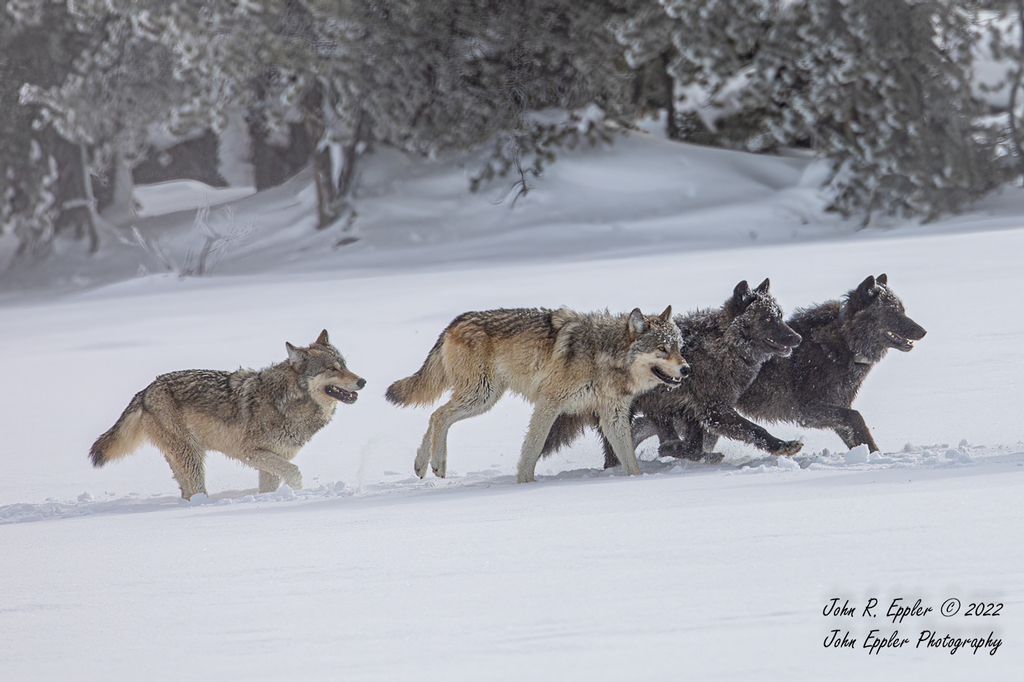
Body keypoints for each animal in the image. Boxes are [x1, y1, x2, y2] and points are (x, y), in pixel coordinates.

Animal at [89, 330, 365, 500]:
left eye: (344, 365)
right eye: (332, 369)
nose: (362, 381)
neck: (286, 400)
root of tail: (146, 389)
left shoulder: (271, 459)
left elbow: (272, 485)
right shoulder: (251, 452)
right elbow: (295, 473)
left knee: (187, 493)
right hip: (192, 455)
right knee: (196, 491)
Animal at [385, 306, 689, 483]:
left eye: (679, 346)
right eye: (662, 349)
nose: (686, 369)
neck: (604, 354)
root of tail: (453, 322)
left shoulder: (613, 416)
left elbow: (628, 458)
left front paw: (637, 481)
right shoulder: (549, 403)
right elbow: (533, 448)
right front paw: (525, 483)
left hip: (482, 397)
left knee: (436, 416)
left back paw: (423, 465)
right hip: (481, 396)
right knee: (438, 415)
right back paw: (436, 463)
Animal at [543, 279, 803, 466]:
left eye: (780, 315)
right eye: (768, 319)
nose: (798, 338)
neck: (724, 346)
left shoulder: (689, 410)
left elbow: (694, 444)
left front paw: (677, 450)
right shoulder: (713, 410)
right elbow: (754, 429)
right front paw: (782, 446)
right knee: (613, 455)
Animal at [736, 274, 926, 453]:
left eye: (902, 310)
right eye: (892, 312)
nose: (924, 332)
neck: (846, 341)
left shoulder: (837, 407)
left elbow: (856, 435)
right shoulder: (806, 410)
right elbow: (856, 418)